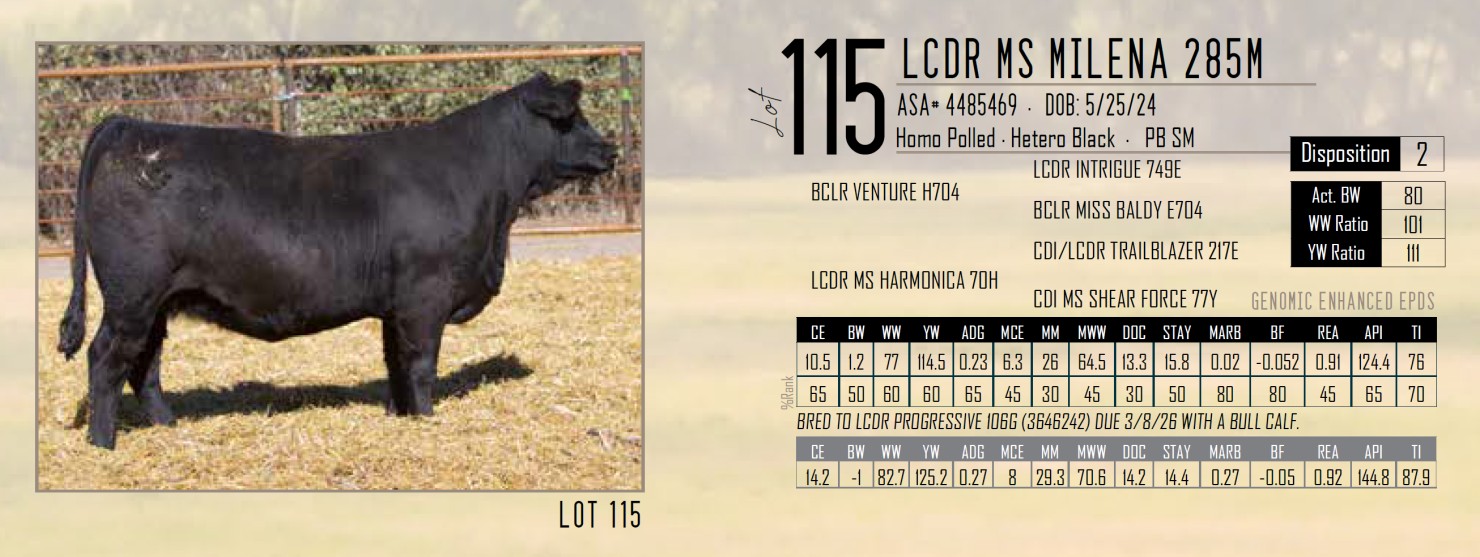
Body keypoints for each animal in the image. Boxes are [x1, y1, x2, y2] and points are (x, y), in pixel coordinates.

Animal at [55, 72, 618, 449]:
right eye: (571, 119)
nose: (611, 150)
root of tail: (129, 124)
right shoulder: (425, 297)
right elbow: (421, 365)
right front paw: (427, 419)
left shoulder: (395, 305)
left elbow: (395, 363)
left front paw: (401, 417)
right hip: (133, 295)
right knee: (106, 359)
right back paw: (103, 443)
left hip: (159, 300)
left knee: (144, 364)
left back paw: (166, 426)